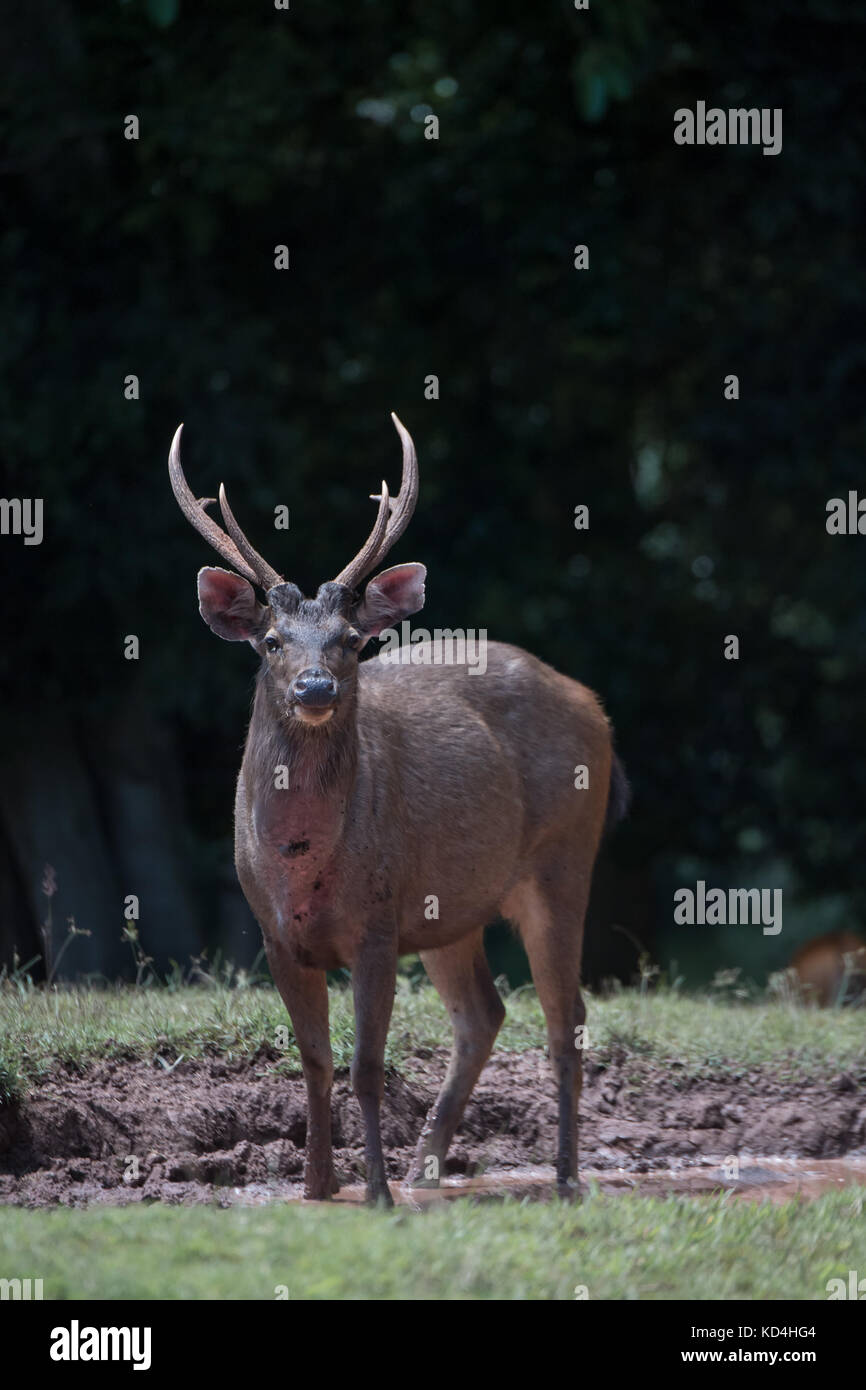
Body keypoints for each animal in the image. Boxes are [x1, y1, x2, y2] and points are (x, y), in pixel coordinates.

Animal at [168, 412, 628, 1204]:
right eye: (271, 641)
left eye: (353, 639)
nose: (315, 688)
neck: (301, 866)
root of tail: (592, 703)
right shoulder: (275, 936)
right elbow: (315, 1062)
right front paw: (318, 1185)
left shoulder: (378, 924)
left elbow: (366, 1066)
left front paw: (374, 1193)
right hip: (452, 906)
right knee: (483, 1013)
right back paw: (429, 1165)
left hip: (565, 858)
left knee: (566, 1016)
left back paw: (566, 1176)